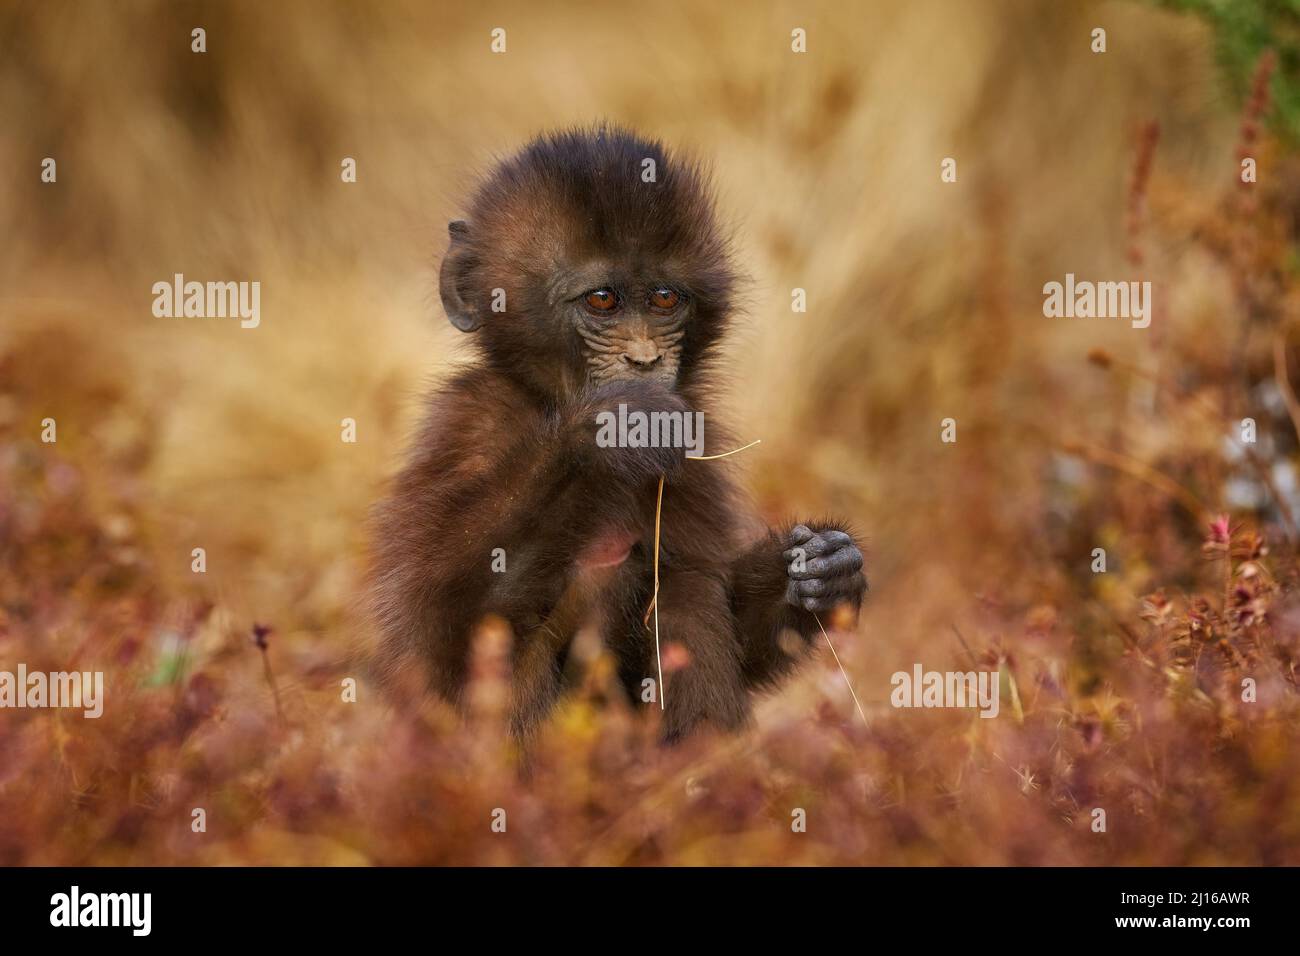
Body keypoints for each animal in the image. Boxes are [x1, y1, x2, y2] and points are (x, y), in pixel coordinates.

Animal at [368, 126, 866, 744]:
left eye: (664, 298)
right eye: (602, 300)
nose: (644, 360)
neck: (546, 401)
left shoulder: (696, 447)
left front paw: (823, 568)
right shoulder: (470, 423)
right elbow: (437, 638)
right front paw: (609, 431)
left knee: (680, 585)